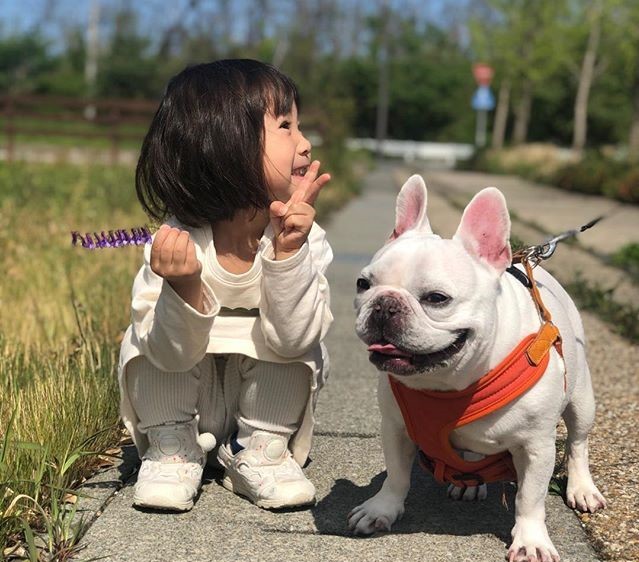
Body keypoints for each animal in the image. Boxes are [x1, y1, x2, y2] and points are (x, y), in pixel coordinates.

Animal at [348, 175, 606, 562]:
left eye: (437, 299)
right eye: (364, 284)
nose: (384, 305)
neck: (449, 383)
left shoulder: (536, 446)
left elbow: (530, 497)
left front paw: (531, 540)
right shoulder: (394, 427)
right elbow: (396, 474)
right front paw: (381, 510)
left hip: (581, 401)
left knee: (577, 442)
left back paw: (581, 488)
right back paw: (469, 484)